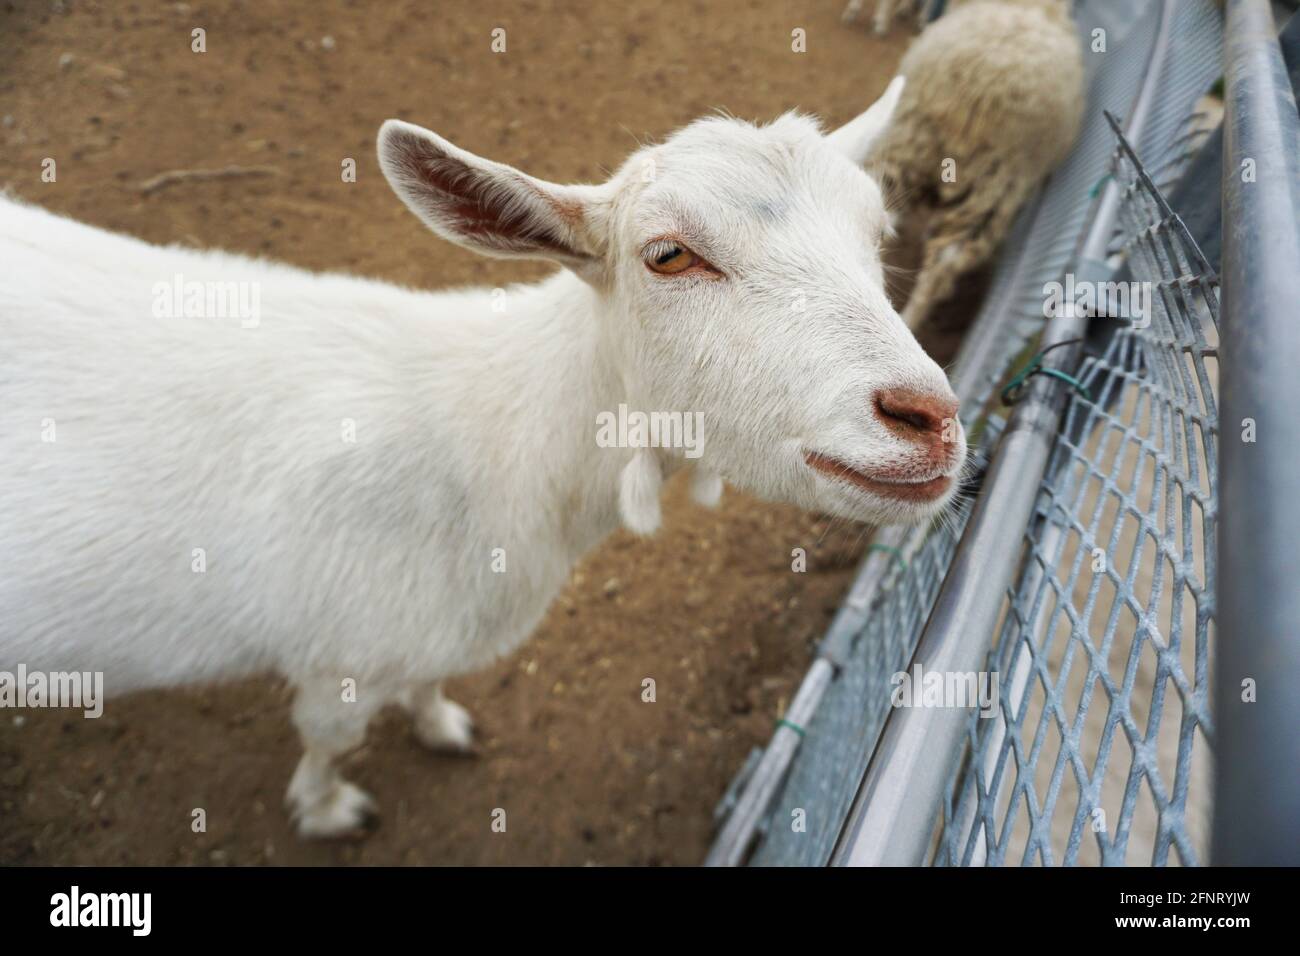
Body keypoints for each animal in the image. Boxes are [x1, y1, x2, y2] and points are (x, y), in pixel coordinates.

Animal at [0, 78, 967, 837]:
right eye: (668, 255)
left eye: (878, 233)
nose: (929, 420)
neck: (489, 445)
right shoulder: (339, 659)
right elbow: (330, 740)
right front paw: (327, 809)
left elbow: (429, 683)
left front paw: (440, 725)